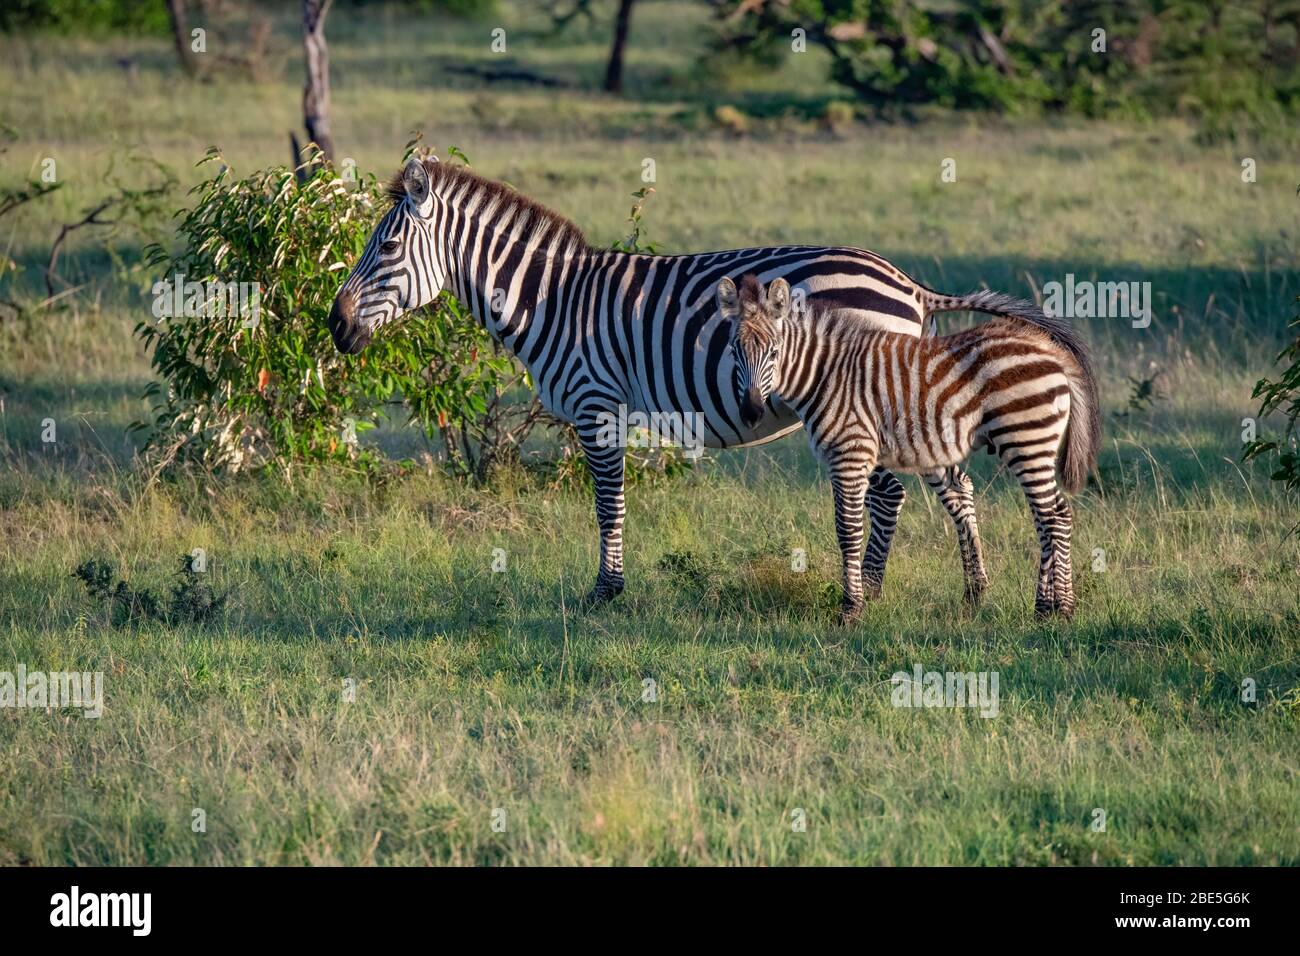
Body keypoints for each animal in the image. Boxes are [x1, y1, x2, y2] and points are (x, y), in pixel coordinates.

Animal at [329, 156, 1000, 606]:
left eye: (386, 247)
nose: (335, 325)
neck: (553, 300)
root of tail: (909, 283)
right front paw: (610, 586)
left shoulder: (596, 402)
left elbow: (608, 503)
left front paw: (606, 590)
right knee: (923, 489)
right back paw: (924, 589)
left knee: (919, 490)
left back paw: (945, 590)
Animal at [719, 273, 1100, 620]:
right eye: (735, 351)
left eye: (773, 352)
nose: (751, 412)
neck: (824, 376)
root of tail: (1052, 352)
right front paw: (856, 602)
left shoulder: (850, 453)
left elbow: (848, 529)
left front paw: (851, 608)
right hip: (1030, 442)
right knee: (1050, 515)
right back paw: (1047, 607)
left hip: (1026, 437)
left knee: (1054, 516)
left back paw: (1060, 608)